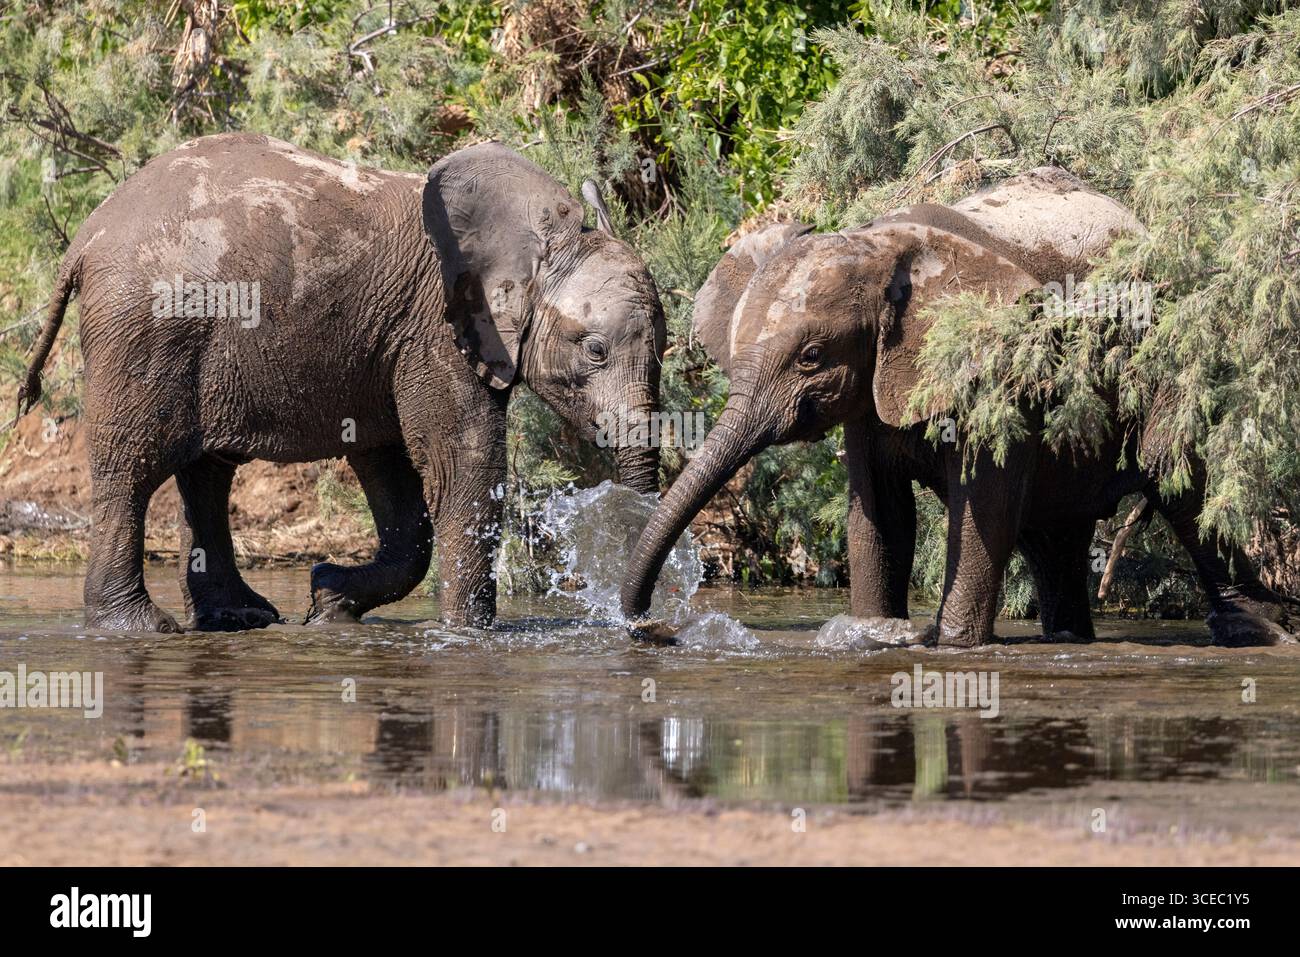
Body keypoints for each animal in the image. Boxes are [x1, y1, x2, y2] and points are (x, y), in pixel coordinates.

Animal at [17, 132, 665, 633]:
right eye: (596, 351)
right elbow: (460, 464)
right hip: (146, 329)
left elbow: (391, 473)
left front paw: (329, 601)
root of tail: (87, 237)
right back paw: (138, 627)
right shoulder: (435, 326)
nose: (638, 624)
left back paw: (242, 618)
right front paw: (465, 635)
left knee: (206, 473)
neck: (542, 234)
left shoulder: (390, 340)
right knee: (131, 468)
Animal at [621, 166, 1297, 647]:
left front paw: (947, 645)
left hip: (1163, 360)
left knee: (1173, 475)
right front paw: (876, 631)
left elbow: (983, 506)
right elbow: (879, 517)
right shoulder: (872, 388)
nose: (654, 627)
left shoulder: (996, 366)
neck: (878, 245)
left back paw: (1254, 630)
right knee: (1052, 532)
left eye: (811, 357)